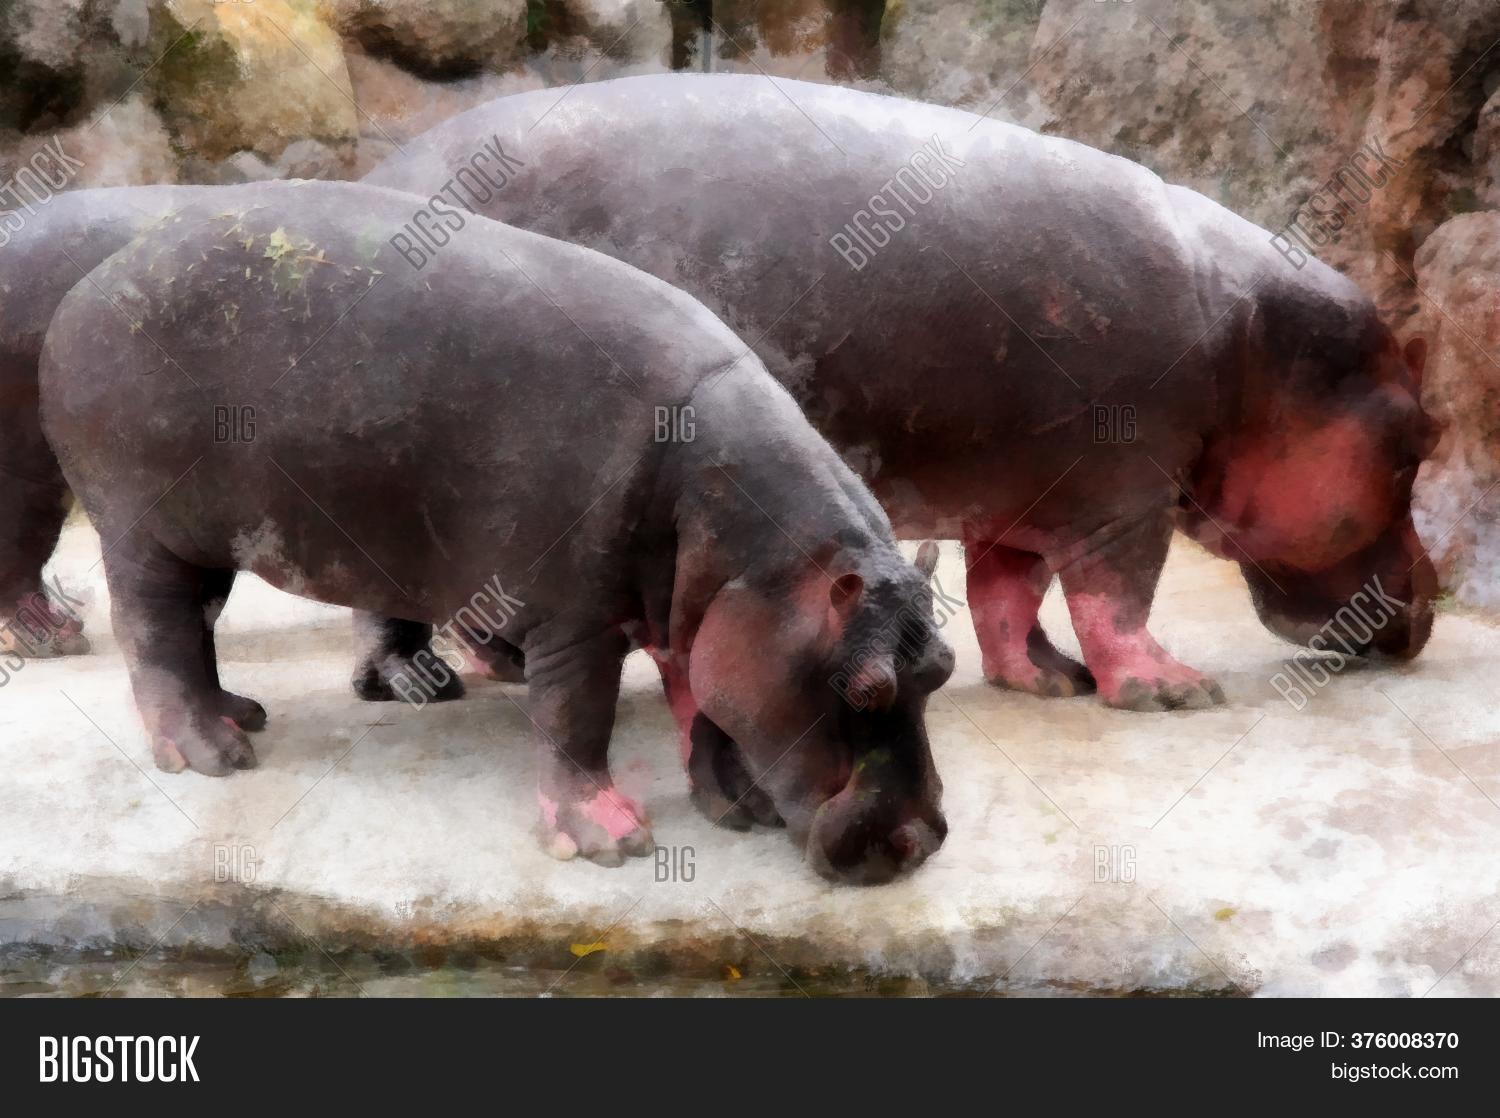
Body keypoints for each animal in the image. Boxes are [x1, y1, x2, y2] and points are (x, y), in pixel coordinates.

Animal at [38, 180, 954, 882]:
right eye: (862, 691)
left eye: (941, 669)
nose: (919, 841)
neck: (763, 560)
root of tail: (83, 291)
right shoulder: (576, 620)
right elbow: (577, 718)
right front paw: (612, 841)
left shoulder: (697, 607)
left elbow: (707, 699)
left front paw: (737, 802)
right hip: (141, 529)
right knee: (155, 632)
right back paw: (213, 753)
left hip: (202, 539)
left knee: (195, 629)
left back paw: (242, 715)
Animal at [363, 73, 1438, 714]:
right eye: (1423, 438)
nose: (1429, 604)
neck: (1257, 343)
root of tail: (386, 168)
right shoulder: (1124, 498)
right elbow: (1117, 599)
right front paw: (1174, 691)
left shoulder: (1027, 494)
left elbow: (1008, 593)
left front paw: (1047, 683)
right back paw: (419, 682)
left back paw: (493, 667)